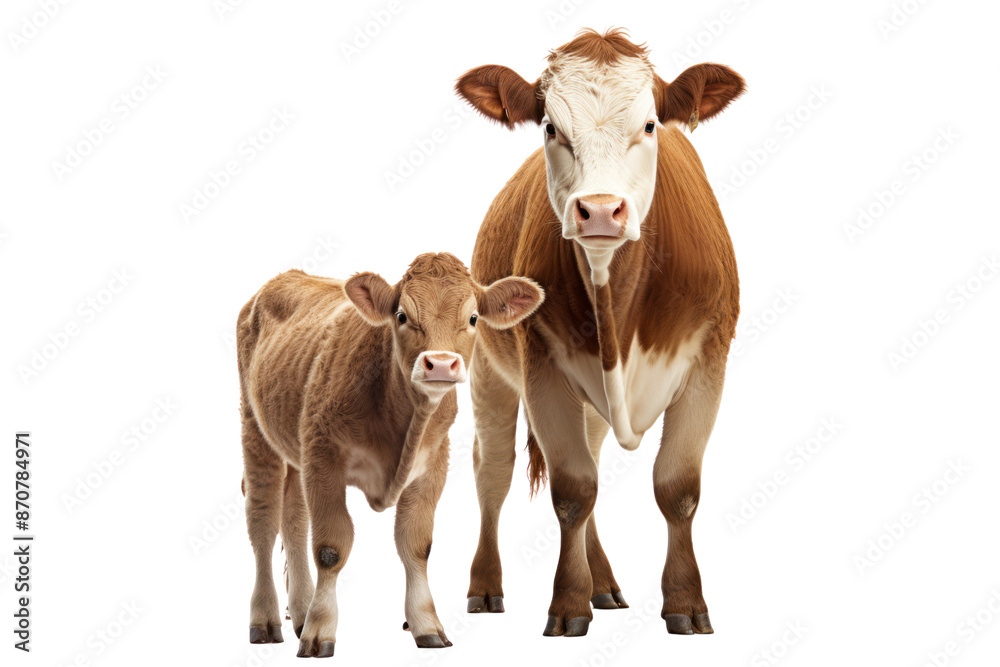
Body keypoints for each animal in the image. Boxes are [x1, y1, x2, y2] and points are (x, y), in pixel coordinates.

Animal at [236, 253, 544, 657]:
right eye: (401, 315)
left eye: (474, 318)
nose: (440, 363)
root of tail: (286, 276)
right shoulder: (324, 457)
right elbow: (331, 547)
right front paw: (320, 631)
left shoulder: (433, 465)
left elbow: (416, 544)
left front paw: (426, 624)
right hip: (256, 431)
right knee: (263, 522)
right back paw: (264, 620)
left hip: (295, 448)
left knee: (294, 519)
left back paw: (300, 613)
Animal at [454, 29, 745, 637]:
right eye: (550, 127)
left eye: (651, 124)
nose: (602, 211)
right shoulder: (539, 362)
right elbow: (573, 488)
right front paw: (567, 606)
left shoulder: (709, 359)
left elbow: (676, 487)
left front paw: (686, 603)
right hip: (488, 370)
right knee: (492, 470)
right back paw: (486, 587)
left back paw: (604, 583)